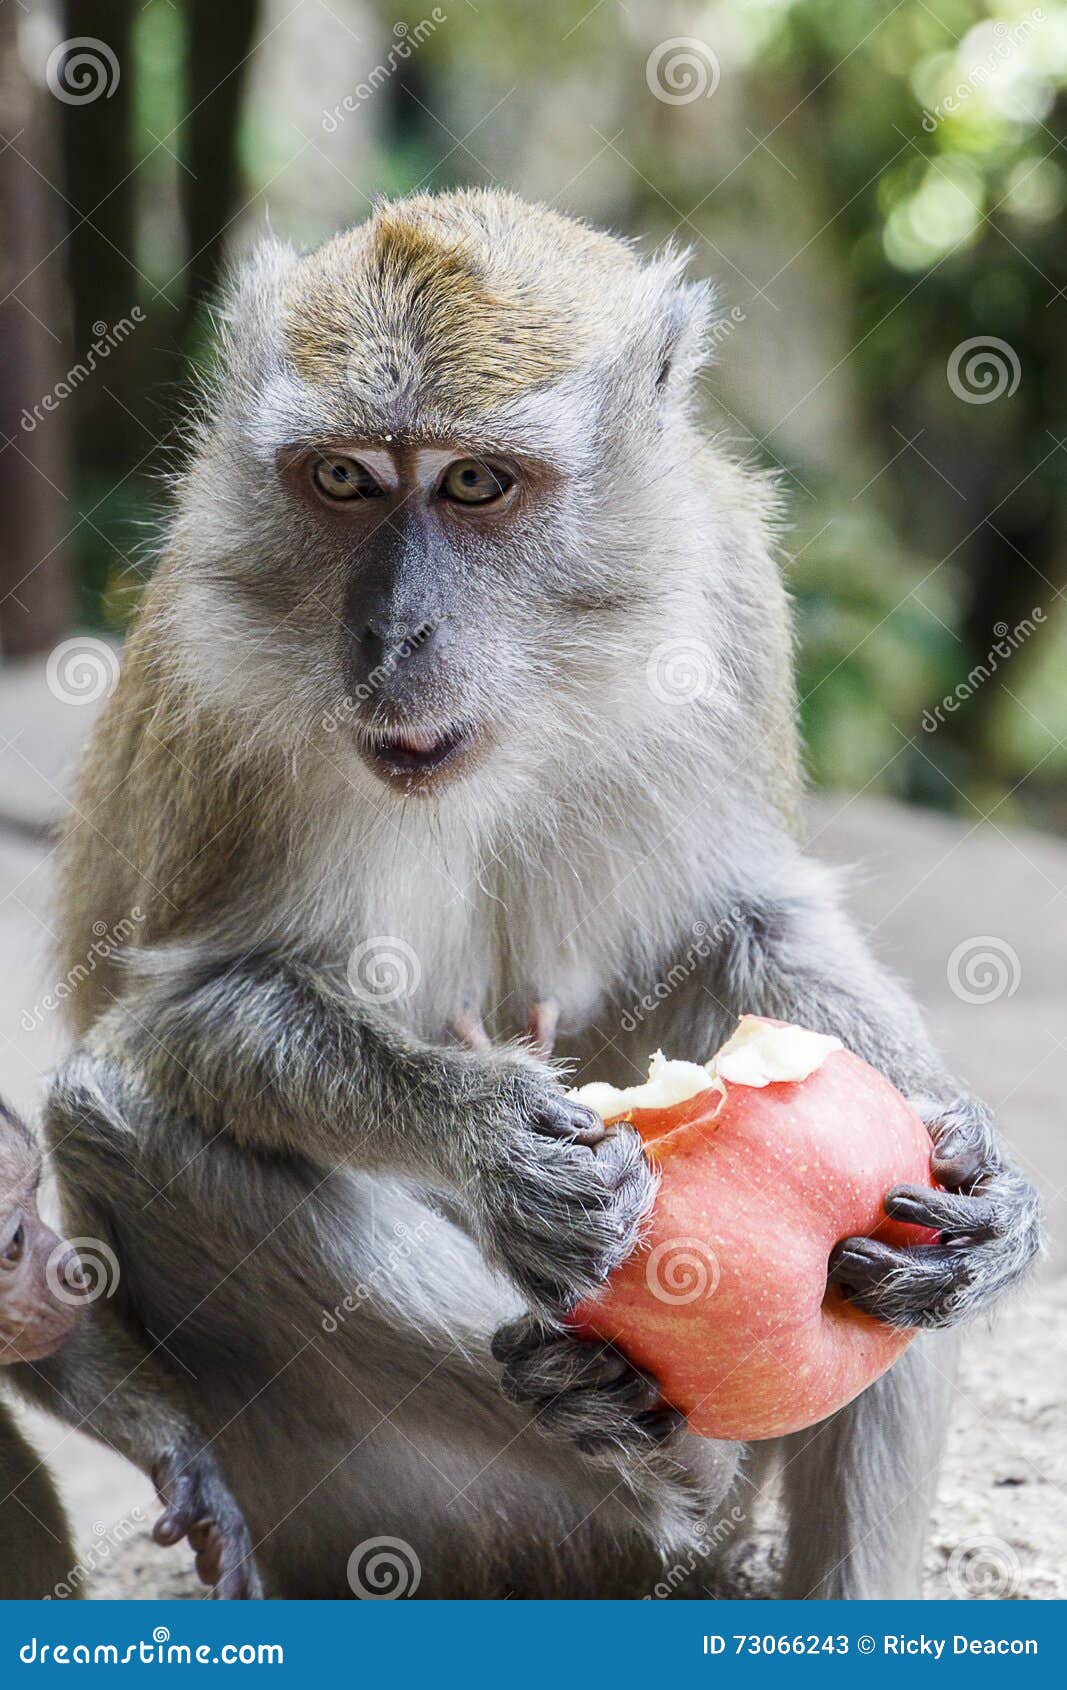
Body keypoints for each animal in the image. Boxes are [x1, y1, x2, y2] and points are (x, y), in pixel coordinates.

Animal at [36, 188, 1039, 1600]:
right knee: (106, 1115)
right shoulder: (210, 665)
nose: (390, 633)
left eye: (473, 482)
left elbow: (751, 929)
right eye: (341, 478)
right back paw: (614, 1427)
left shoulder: (719, 589)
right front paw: (488, 1139)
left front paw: (981, 1167)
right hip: (363, 1513)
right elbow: (168, 1012)